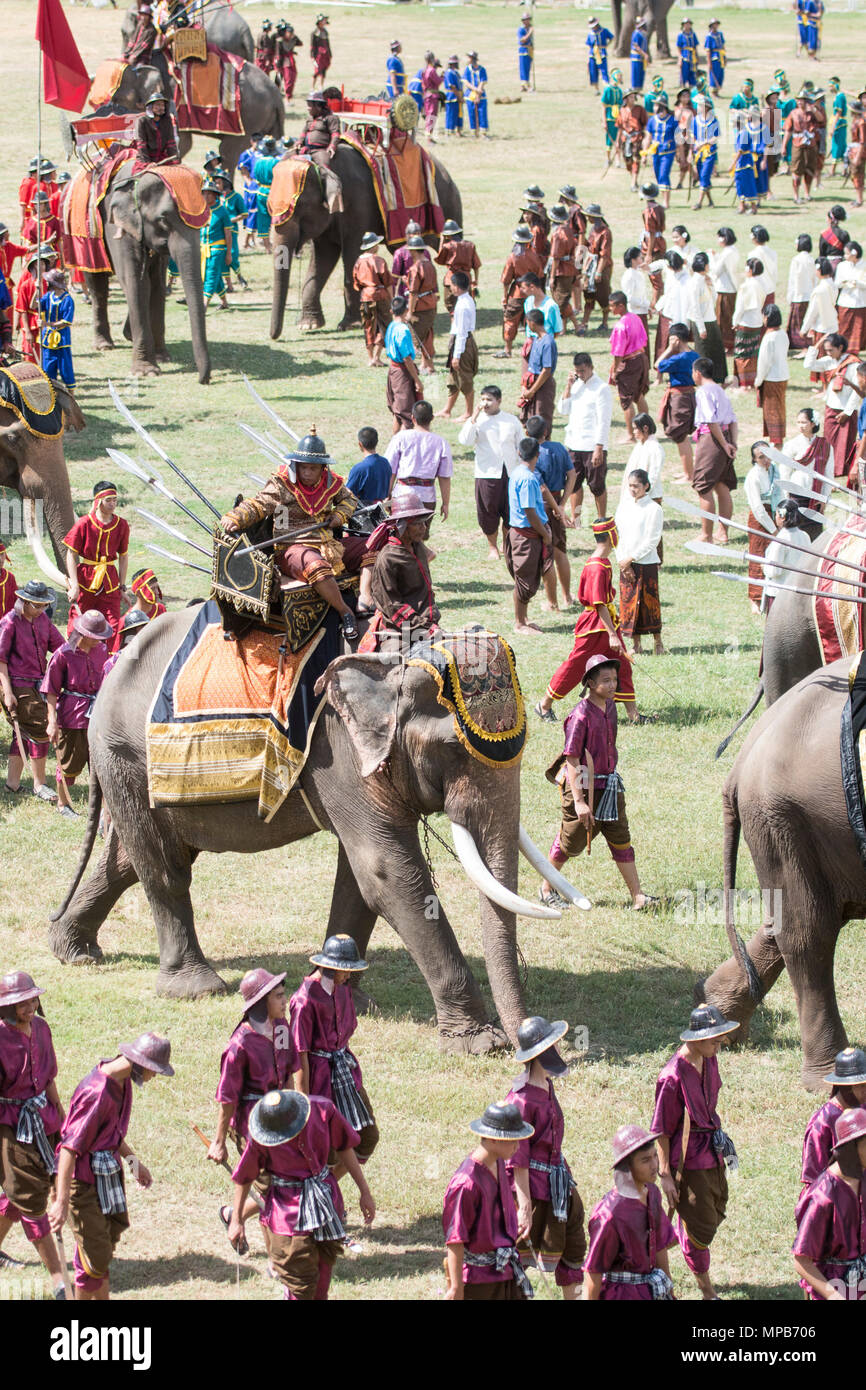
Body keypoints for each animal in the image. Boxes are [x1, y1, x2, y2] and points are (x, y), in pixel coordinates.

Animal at [48, 617, 576, 1053]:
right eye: (451, 748)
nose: (542, 1037)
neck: (395, 659)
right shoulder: (337, 751)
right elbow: (387, 871)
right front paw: (479, 1045)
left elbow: (359, 879)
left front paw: (345, 995)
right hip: (125, 756)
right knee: (163, 868)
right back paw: (197, 988)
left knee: (127, 863)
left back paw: (74, 952)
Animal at [80, 165, 211, 384]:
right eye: (163, 221)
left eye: (204, 224)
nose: (204, 380)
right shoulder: (116, 225)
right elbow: (135, 282)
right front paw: (146, 371)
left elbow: (156, 282)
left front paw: (162, 357)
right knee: (97, 285)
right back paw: (103, 345)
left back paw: (127, 334)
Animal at [268, 146, 463, 339]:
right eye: (268, 206)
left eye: (300, 205)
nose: (274, 337)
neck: (323, 163)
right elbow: (322, 259)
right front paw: (308, 325)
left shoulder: (358, 205)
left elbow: (352, 255)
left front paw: (349, 325)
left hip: (448, 200)